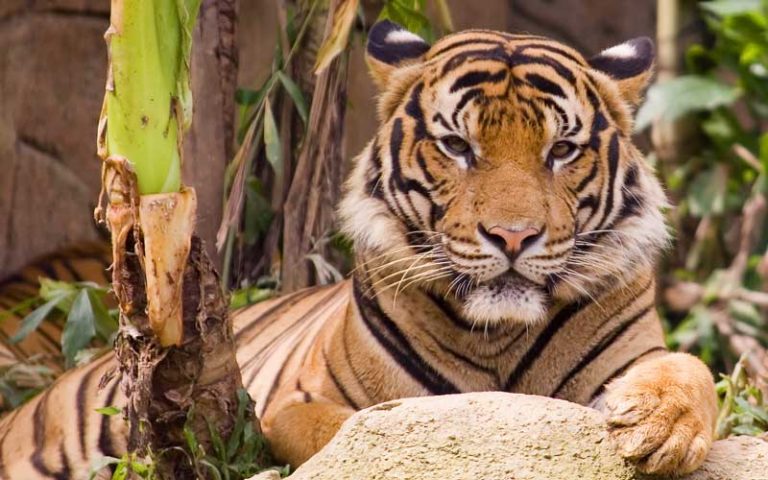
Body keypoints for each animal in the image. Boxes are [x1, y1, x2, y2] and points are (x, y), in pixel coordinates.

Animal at [0, 21, 718, 479]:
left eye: (561, 149)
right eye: (457, 145)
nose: (513, 237)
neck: (500, 336)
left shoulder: (637, 354)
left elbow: (692, 369)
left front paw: (661, 427)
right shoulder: (297, 402)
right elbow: (359, 429)